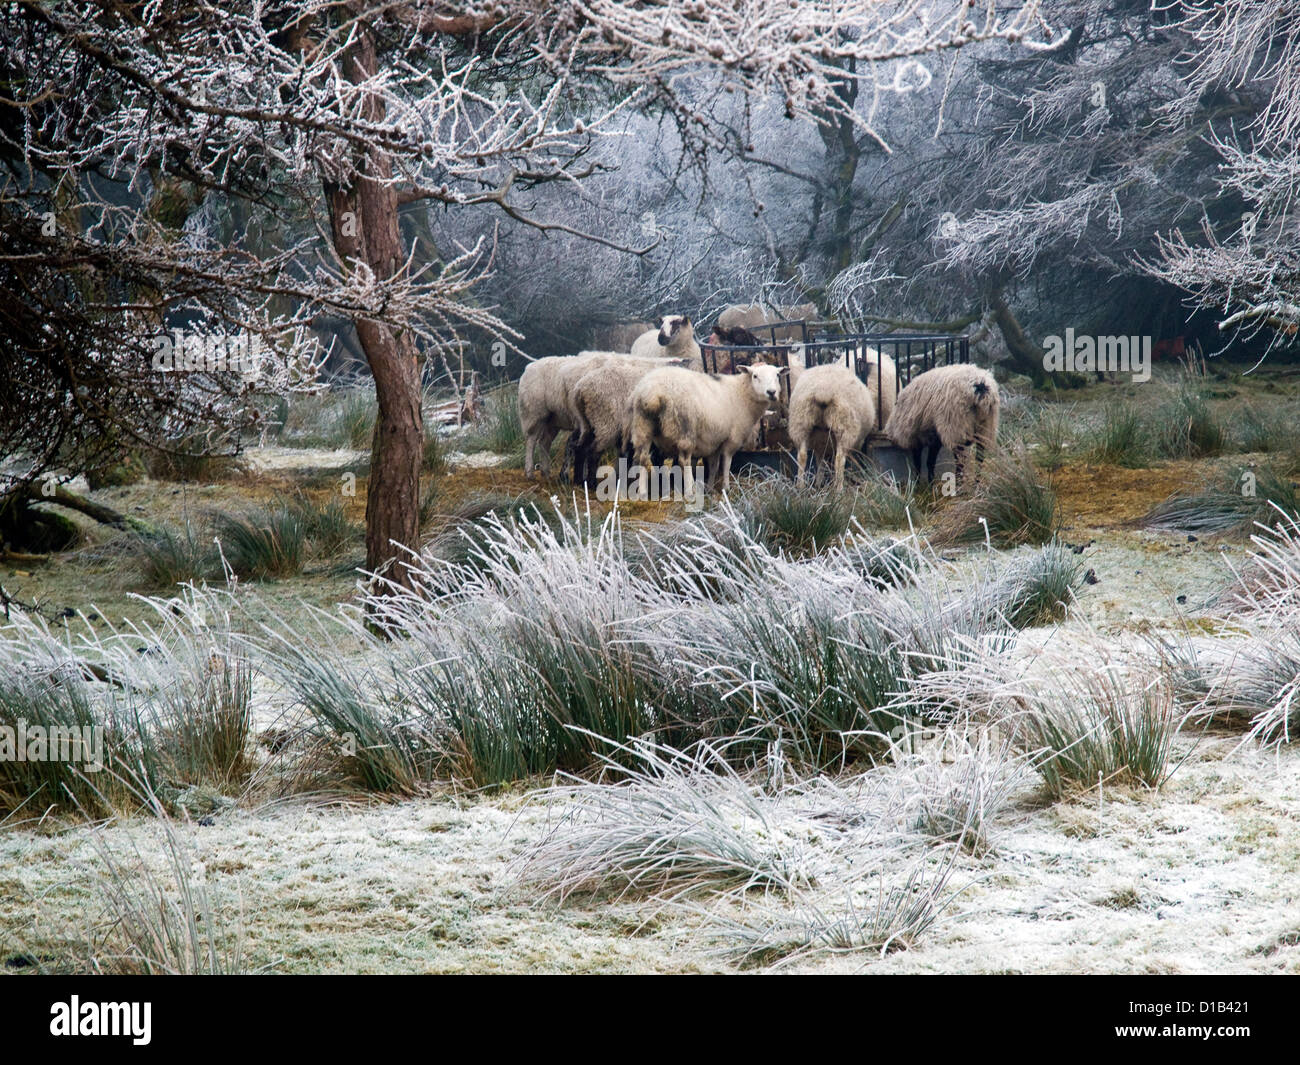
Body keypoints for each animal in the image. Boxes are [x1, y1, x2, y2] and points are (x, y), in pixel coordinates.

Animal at [628, 363, 784, 500]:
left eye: (777, 375)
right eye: (755, 376)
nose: (771, 392)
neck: (742, 393)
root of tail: (653, 393)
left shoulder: (714, 442)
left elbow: (714, 465)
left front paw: (709, 488)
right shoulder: (732, 439)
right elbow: (726, 463)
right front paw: (726, 487)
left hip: (642, 426)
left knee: (642, 457)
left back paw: (642, 492)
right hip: (685, 428)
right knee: (684, 460)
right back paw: (690, 491)